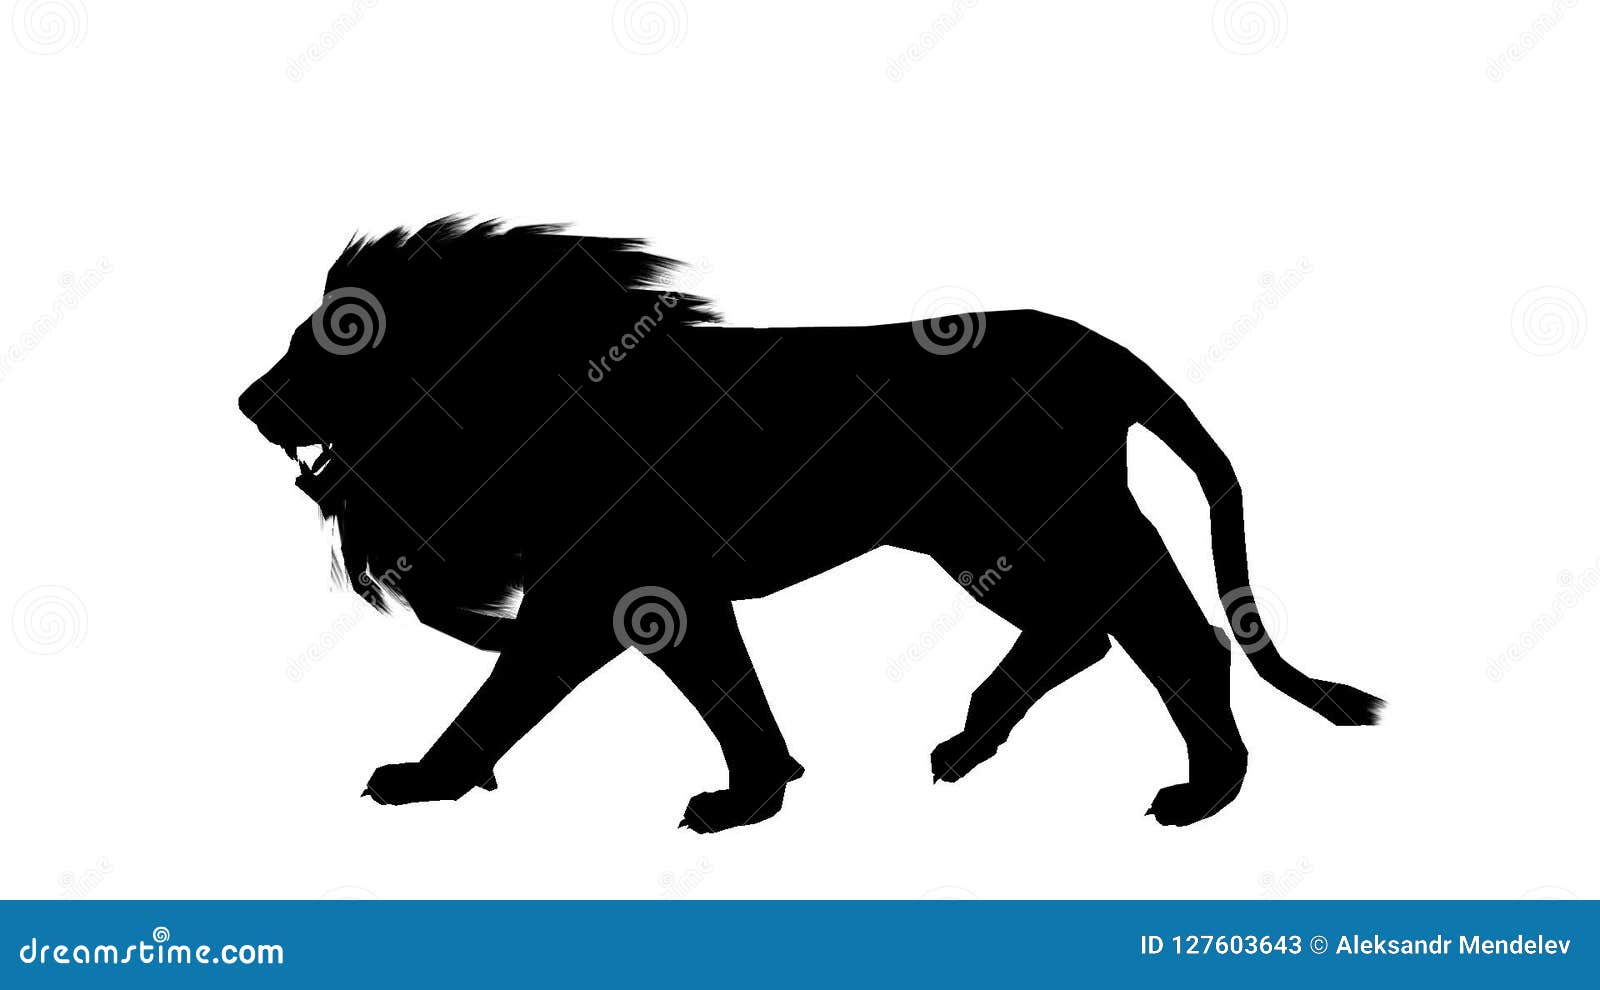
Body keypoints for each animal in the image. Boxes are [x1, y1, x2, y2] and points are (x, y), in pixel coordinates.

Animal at [238, 217, 1382, 832]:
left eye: (336, 340)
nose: (249, 401)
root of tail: (1105, 352)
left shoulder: (591, 589)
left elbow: (506, 691)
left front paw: (425, 780)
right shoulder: (666, 591)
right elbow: (726, 692)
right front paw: (757, 795)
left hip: (1058, 519)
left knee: (1169, 631)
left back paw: (1202, 793)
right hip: (984, 543)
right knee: (1091, 629)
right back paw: (971, 743)